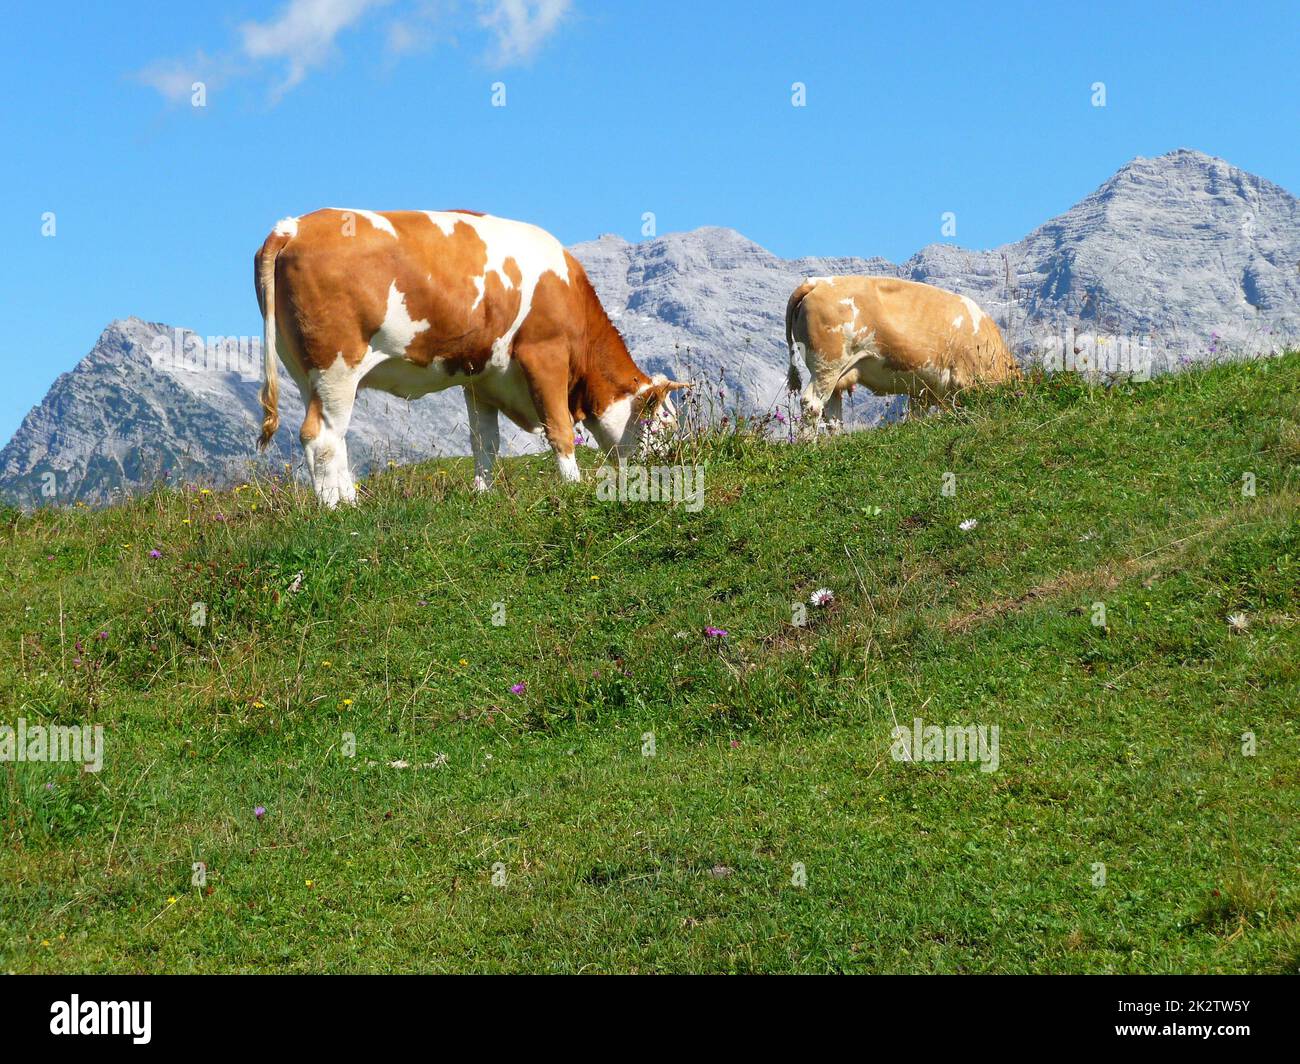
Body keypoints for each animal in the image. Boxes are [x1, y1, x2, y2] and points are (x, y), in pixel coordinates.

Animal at [254, 209, 688, 505]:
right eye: (665, 424)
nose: (674, 464)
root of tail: (292, 226)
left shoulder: (481, 379)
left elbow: (485, 442)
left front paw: (483, 493)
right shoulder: (544, 352)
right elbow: (560, 429)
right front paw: (572, 487)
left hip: (306, 372)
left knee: (335, 436)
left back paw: (349, 499)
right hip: (337, 366)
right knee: (322, 436)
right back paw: (339, 510)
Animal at [785, 275, 1020, 431]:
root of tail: (818, 282)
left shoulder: (924, 391)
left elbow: (917, 417)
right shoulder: (966, 381)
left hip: (838, 373)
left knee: (832, 415)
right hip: (827, 364)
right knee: (811, 404)